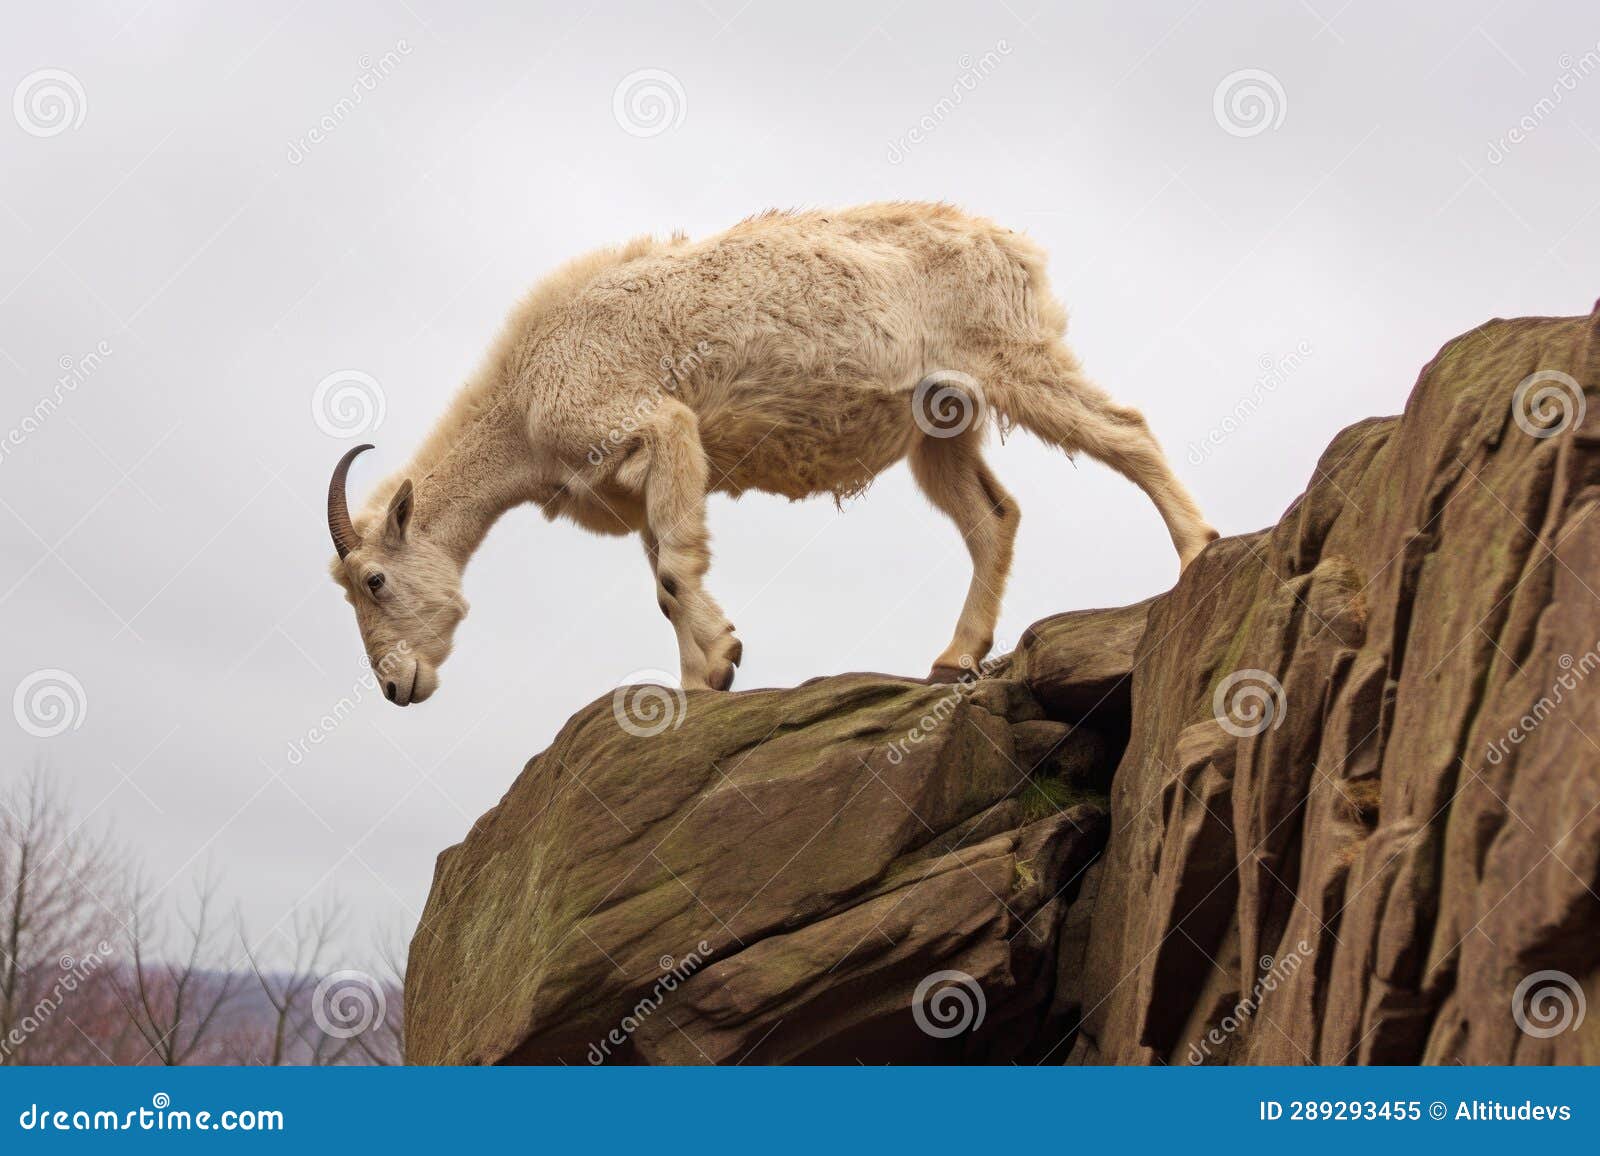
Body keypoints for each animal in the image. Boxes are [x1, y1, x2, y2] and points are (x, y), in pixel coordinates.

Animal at [326, 203, 1217, 703]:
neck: (522, 396)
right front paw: (701, 684)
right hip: (942, 423)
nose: (397, 687)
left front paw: (719, 662)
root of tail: (1015, 248)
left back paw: (1198, 550)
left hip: (1016, 359)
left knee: (1125, 430)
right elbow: (666, 575)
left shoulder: (655, 426)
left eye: (374, 581)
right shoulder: (646, 480)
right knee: (992, 516)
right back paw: (953, 658)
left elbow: (674, 571)